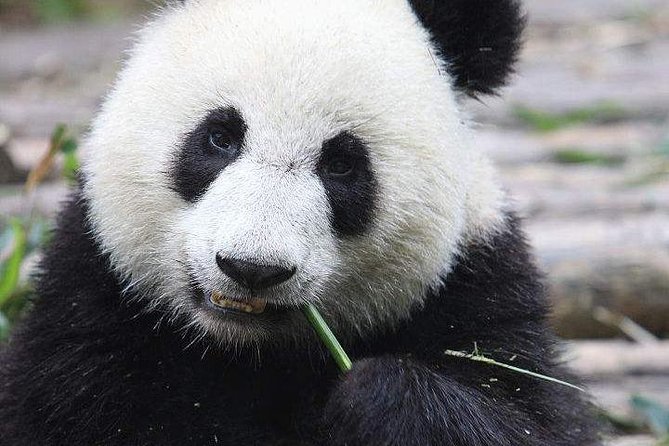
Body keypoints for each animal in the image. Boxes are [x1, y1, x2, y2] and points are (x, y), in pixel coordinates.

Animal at [0, 0, 599, 445]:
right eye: (219, 137)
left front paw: (374, 395)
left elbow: (531, 417)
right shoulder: (88, 310)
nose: (251, 268)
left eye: (342, 164)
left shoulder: (477, 286)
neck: (245, 348)